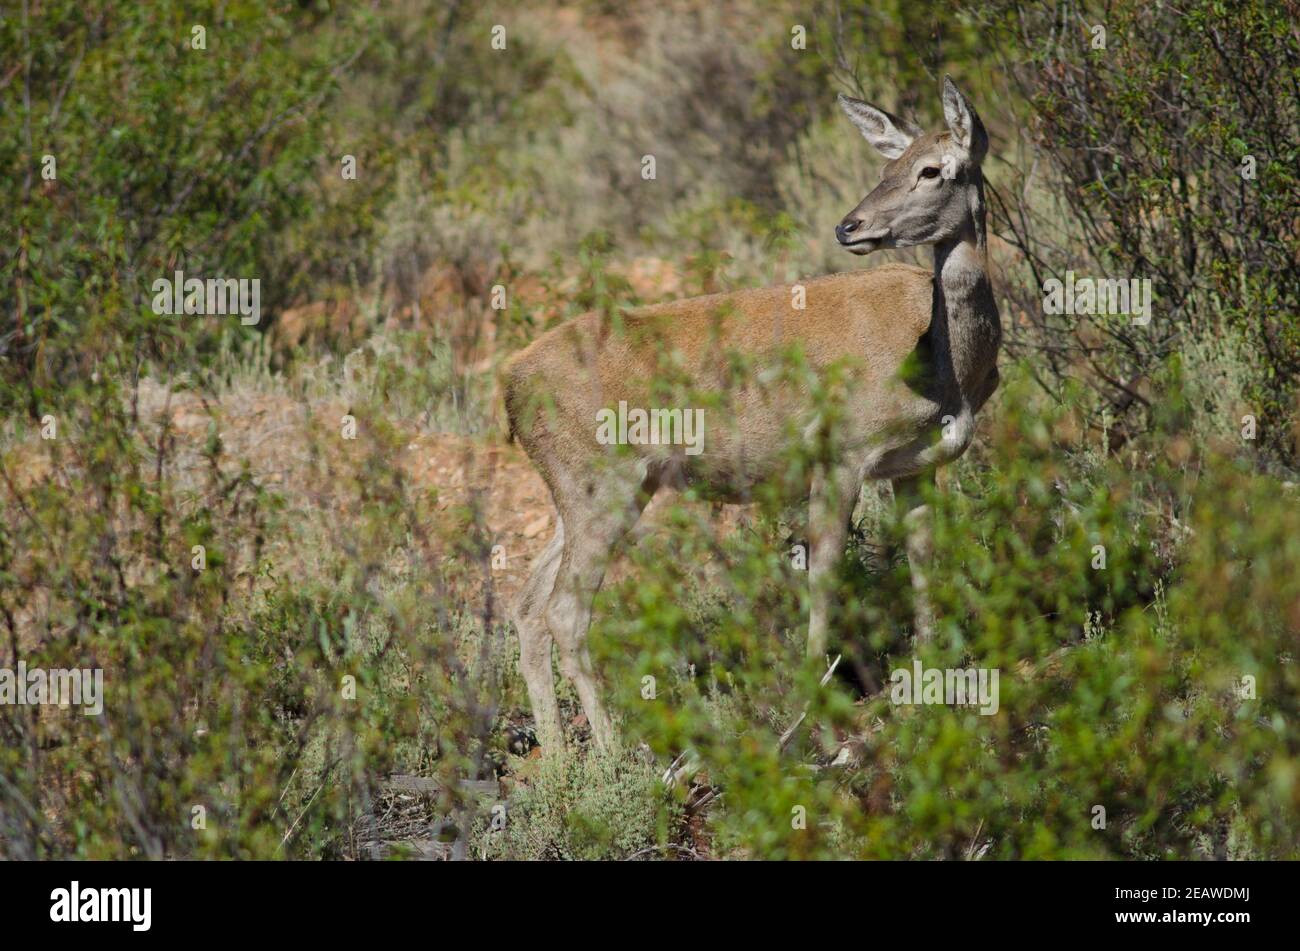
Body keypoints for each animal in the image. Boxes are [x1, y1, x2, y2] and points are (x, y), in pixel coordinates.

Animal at [503, 76, 1000, 752]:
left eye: (930, 169)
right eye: (888, 166)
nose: (850, 226)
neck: (947, 371)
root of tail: (509, 386)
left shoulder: (916, 466)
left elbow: (924, 566)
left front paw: (929, 689)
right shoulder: (841, 452)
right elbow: (823, 579)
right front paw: (814, 721)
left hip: (584, 493)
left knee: (527, 605)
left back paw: (559, 760)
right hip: (602, 482)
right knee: (564, 610)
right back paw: (614, 755)